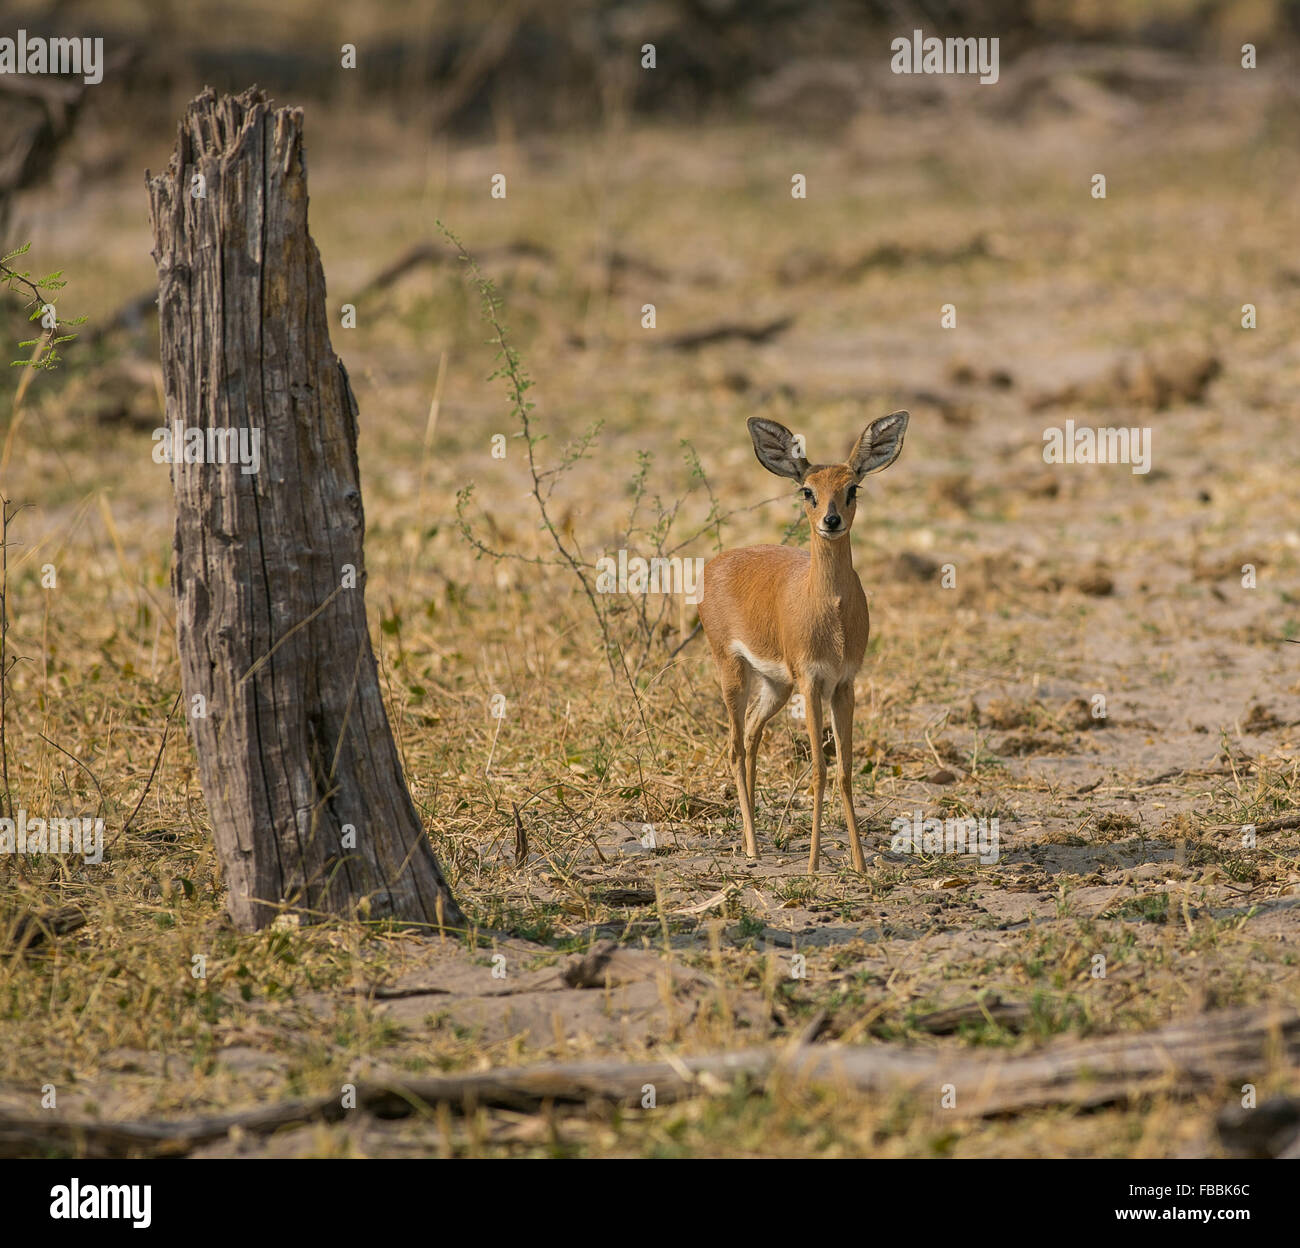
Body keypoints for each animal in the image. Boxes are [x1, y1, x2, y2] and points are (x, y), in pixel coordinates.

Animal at [697, 412, 909, 872]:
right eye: (807, 490)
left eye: (852, 488)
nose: (831, 521)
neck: (830, 610)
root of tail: (714, 563)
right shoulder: (812, 683)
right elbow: (819, 769)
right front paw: (813, 865)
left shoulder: (844, 684)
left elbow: (845, 770)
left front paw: (860, 864)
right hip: (732, 670)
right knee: (735, 747)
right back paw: (752, 848)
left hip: (776, 685)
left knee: (753, 734)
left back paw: (755, 841)